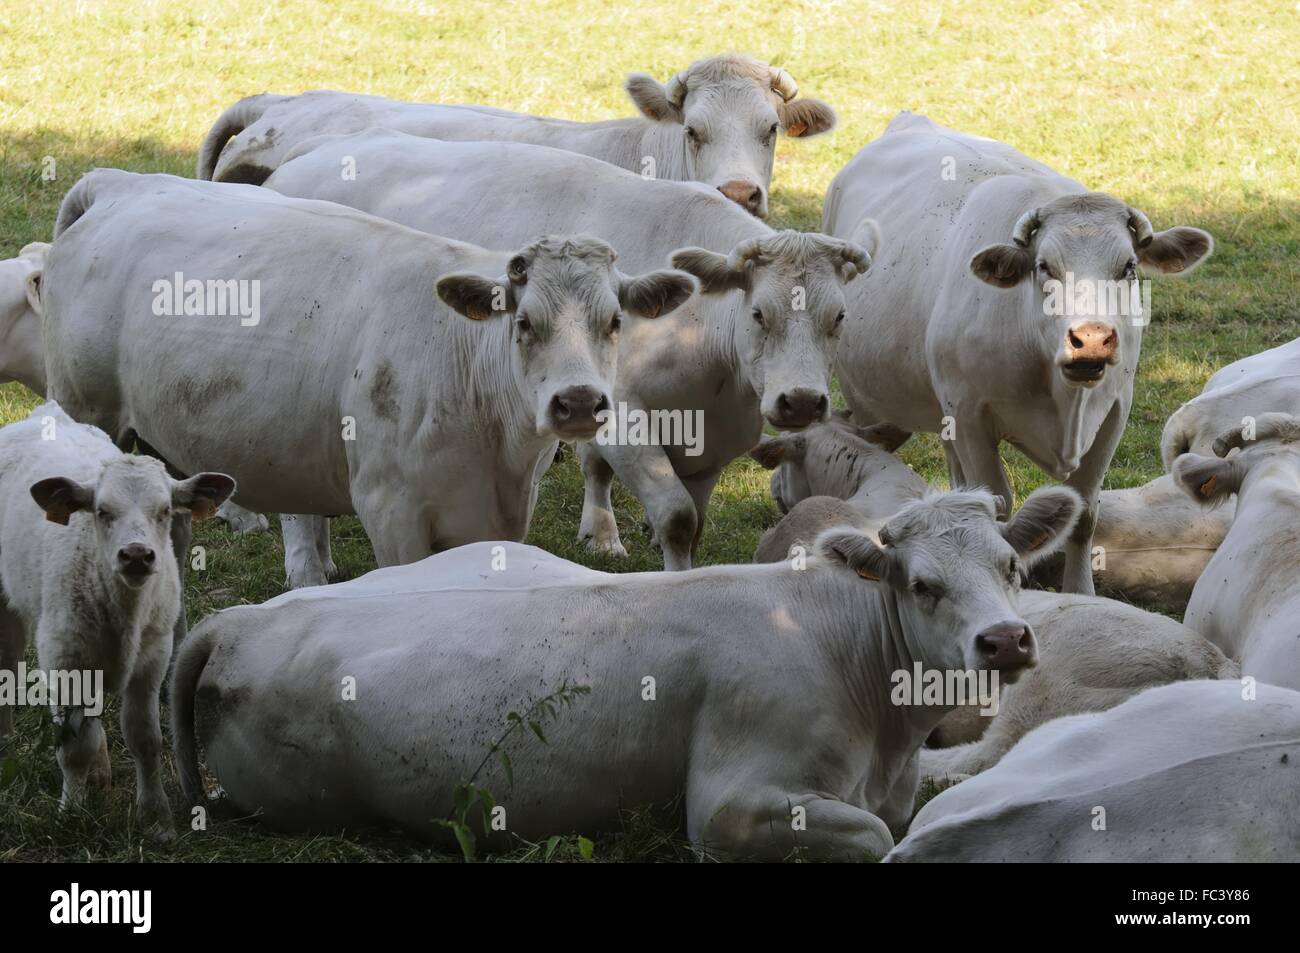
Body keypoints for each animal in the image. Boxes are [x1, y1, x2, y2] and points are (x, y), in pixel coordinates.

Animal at [0, 402, 233, 841]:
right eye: (101, 511)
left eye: (165, 511)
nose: (137, 555)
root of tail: (44, 411)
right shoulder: (63, 659)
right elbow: (73, 747)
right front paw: (71, 813)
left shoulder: (153, 657)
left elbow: (144, 738)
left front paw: (156, 819)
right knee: (6, 667)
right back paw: (5, 748)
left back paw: (102, 771)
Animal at [41, 170, 694, 583]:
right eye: (524, 322)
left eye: (615, 322)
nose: (579, 402)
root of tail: (120, 184)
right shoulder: (391, 511)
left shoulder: (505, 516)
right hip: (81, 410)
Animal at [172, 486, 1082, 860]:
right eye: (923, 584)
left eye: (1014, 567)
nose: (1006, 640)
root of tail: (241, 618)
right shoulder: (730, 805)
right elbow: (878, 835)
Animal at [262, 130, 874, 572]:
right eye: (758, 314)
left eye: (840, 317)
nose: (801, 402)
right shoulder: (622, 413)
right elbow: (674, 515)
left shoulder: (706, 444)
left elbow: (689, 519)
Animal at [824, 111, 1214, 594]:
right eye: (1044, 266)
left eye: (1128, 267)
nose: (1091, 338)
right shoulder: (970, 414)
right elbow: (999, 509)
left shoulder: (1115, 411)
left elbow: (1084, 512)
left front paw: (1080, 592)